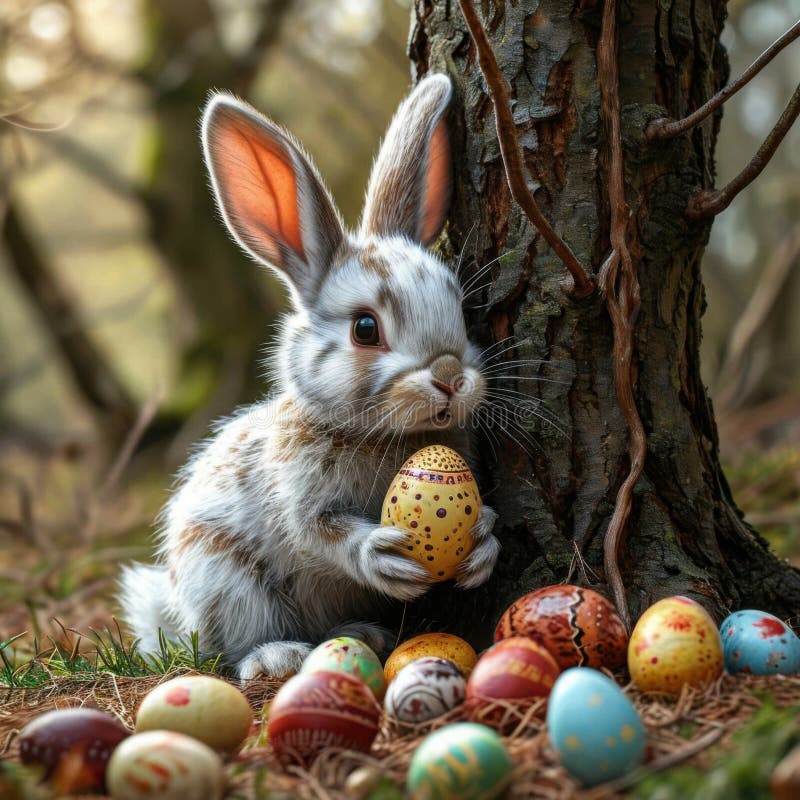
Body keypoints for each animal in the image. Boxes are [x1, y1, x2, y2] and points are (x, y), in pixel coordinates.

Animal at [118, 73, 501, 680]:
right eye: (366, 328)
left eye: (461, 309)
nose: (447, 376)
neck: (384, 436)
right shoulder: (300, 499)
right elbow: (322, 535)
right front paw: (382, 554)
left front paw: (483, 544)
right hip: (226, 580)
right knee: (234, 649)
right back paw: (278, 655)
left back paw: (361, 633)